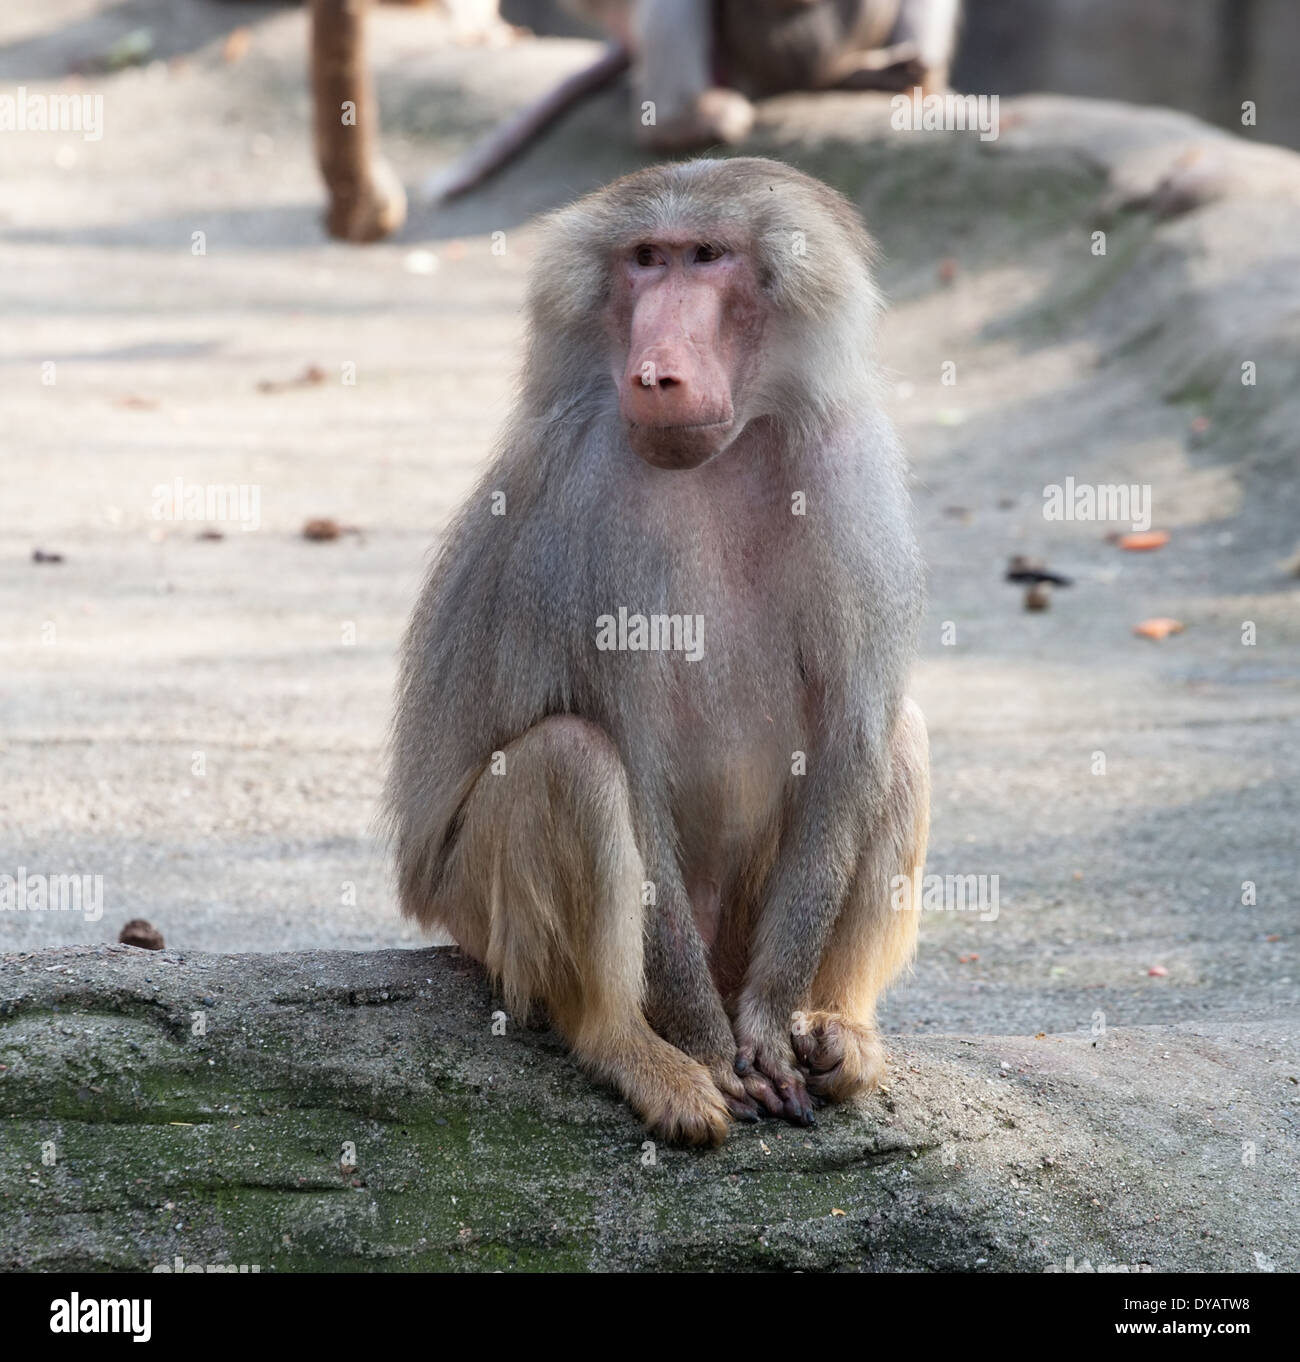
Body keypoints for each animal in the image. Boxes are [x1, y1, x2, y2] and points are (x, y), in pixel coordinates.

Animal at [384, 157, 930, 1145]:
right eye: (644, 259)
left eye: (706, 255)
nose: (656, 372)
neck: (723, 452)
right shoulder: (590, 497)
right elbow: (628, 756)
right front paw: (714, 1052)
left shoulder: (844, 465)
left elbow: (854, 736)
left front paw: (772, 1028)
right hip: (474, 909)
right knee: (571, 760)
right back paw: (638, 1052)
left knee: (902, 739)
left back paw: (837, 1026)